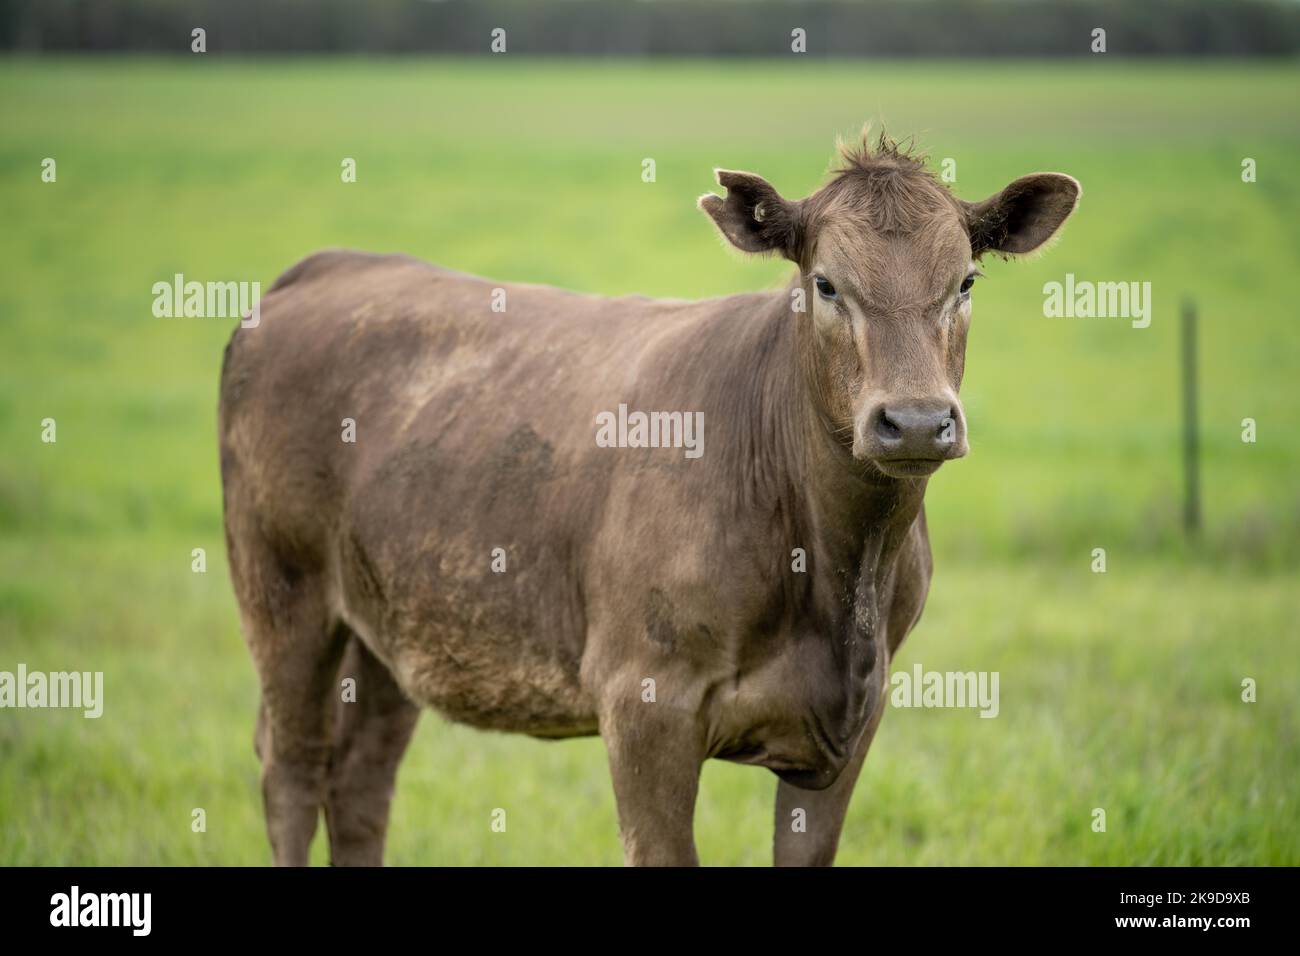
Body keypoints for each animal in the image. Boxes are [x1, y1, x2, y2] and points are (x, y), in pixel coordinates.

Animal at [218, 132, 1079, 866]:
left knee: (361, 776)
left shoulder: (852, 721)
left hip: (391, 624)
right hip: (282, 590)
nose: (916, 421)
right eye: (826, 283)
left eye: (965, 282)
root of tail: (334, 264)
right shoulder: (643, 704)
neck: (838, 576)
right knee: (292, 766)